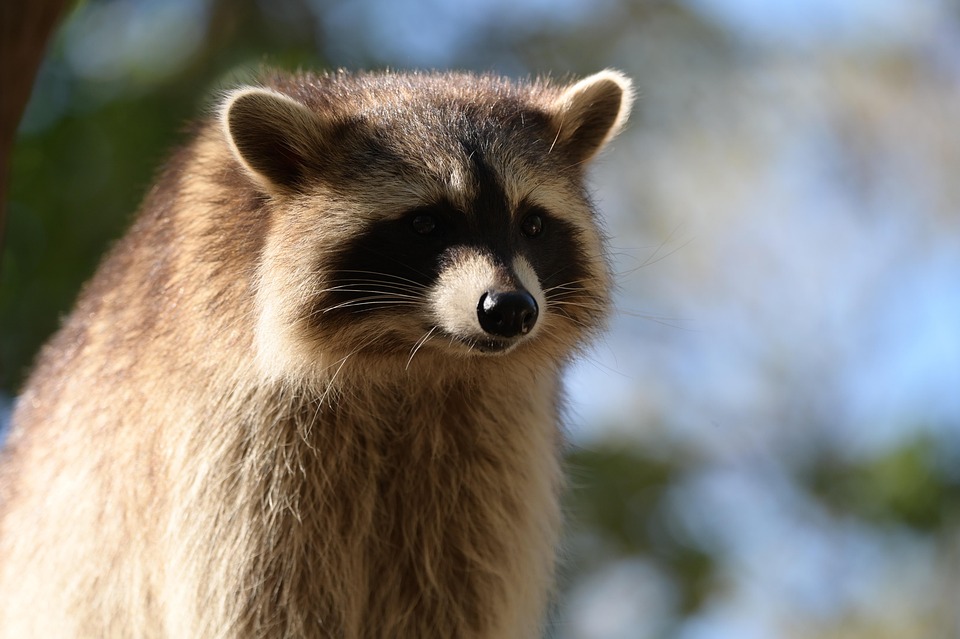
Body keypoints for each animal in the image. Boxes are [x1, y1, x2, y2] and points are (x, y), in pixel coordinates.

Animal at [0, 69, 632, 638]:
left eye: (532, 224)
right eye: (425, 223)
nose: (510, 309)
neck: (415, 360)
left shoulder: (493, 446)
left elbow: (456, 594)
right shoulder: (239, 435)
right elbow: (259, 603)